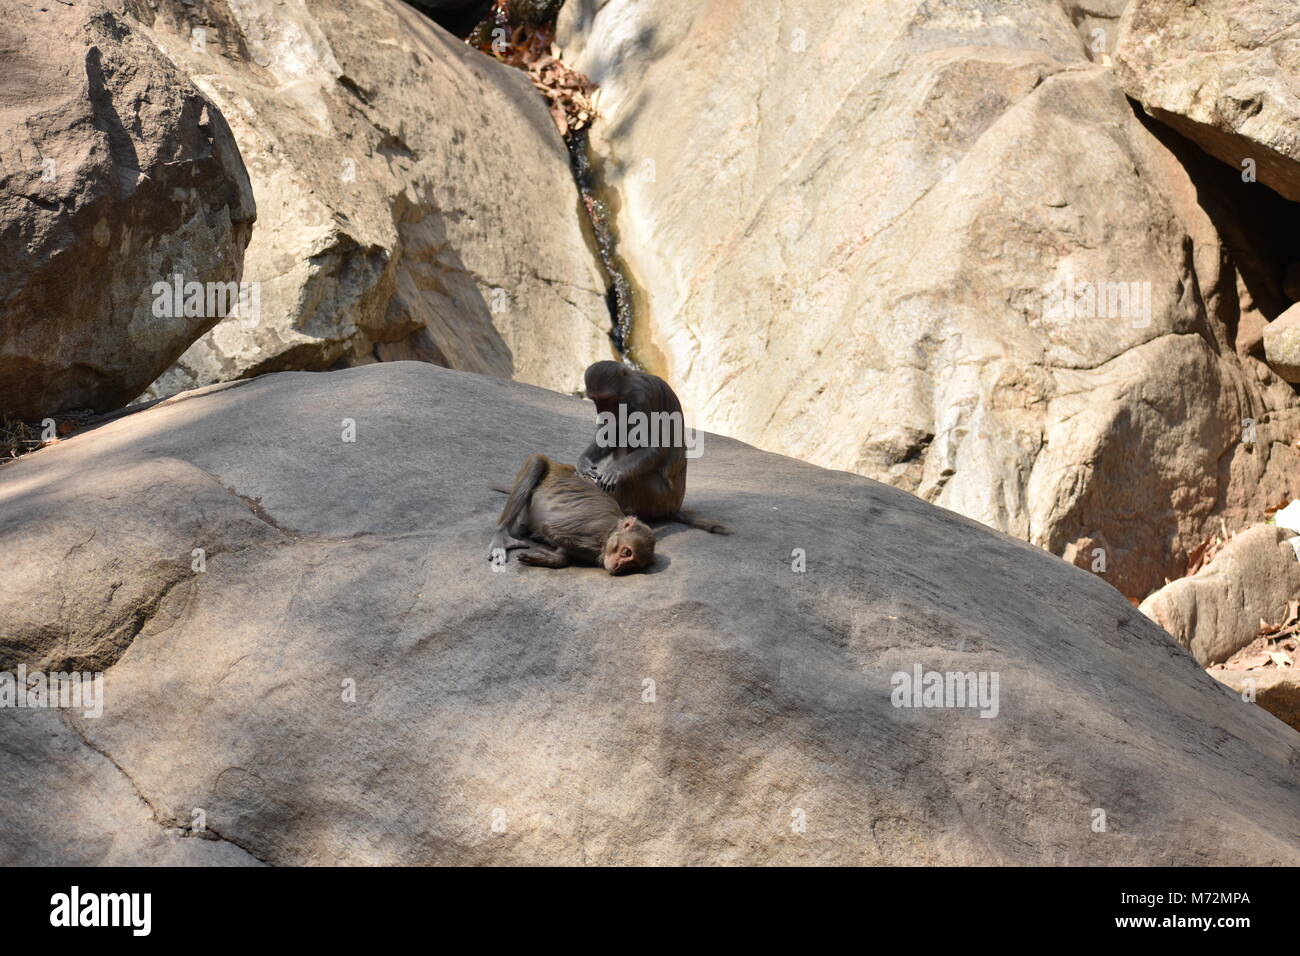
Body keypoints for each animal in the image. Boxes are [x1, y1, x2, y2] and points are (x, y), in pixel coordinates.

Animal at [488, 453, 655, 574]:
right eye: (627, 552)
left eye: (632, 564)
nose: (618, 566)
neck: (607, 535)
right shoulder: (594, 531)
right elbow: (549, 528)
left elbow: (563, 553)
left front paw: (552, 557)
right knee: (537, 462)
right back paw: (501, 536)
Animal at [576, 360, 730, 534]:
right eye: (594, 399)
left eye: (606, 398)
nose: (600, 411)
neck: (627, 391)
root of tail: (675, 508)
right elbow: (610, 434)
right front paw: (584, 463)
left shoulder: (641, 400)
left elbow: (654, 449)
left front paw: (614, 471)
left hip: (661, 499)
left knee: (635, 476)